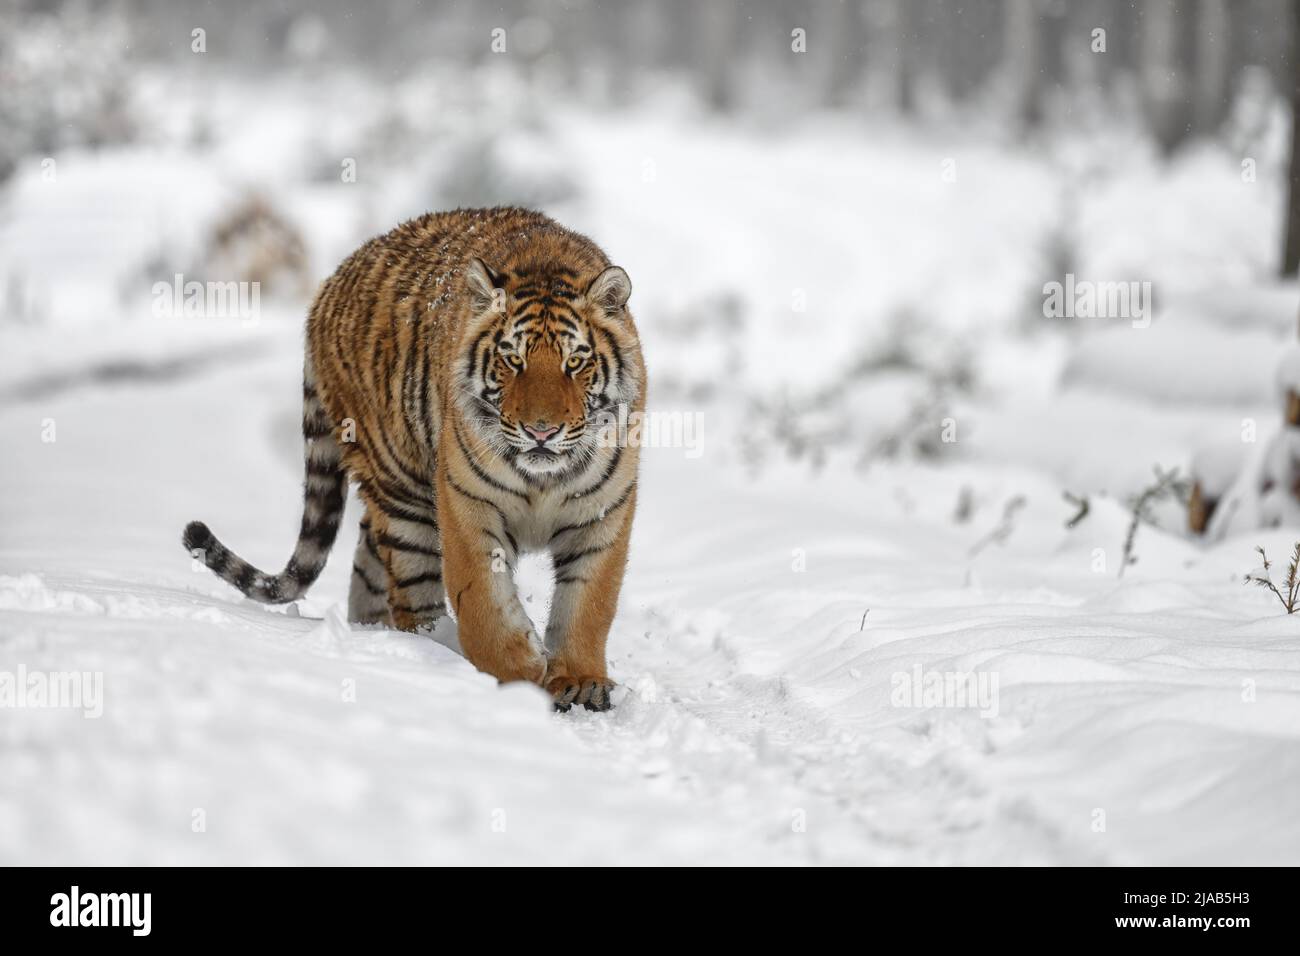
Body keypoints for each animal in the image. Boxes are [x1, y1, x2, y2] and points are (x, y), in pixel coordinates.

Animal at [182, 207, 645, 711]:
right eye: (512, 360)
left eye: (575, 362)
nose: (541, 431)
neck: (543, 479)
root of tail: (326, 289)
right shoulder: (466, 503)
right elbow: (483, 603)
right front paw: (519, 675)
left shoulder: (602, 513)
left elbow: (588, 605)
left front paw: (579, 681)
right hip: (404, 495)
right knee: (412, 601)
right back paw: (431, 653)